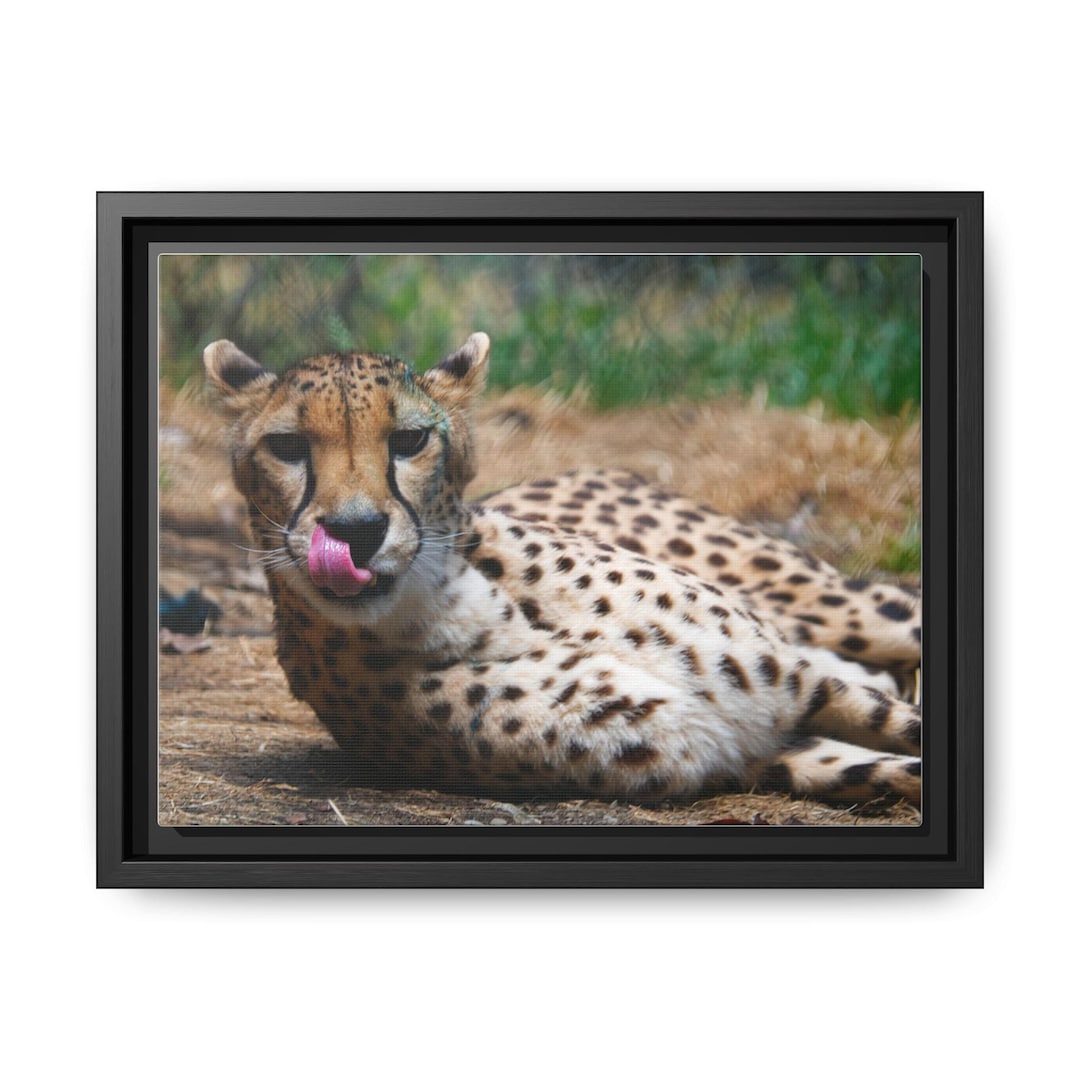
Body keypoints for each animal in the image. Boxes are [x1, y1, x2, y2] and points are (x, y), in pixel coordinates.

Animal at [204, 332, 922, 808]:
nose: (354, 532)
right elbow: (889, 763)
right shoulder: (746, 745)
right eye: (287, 446)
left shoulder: (798, 685)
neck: (464, 604)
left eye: (409, 439)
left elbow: (906, 726)